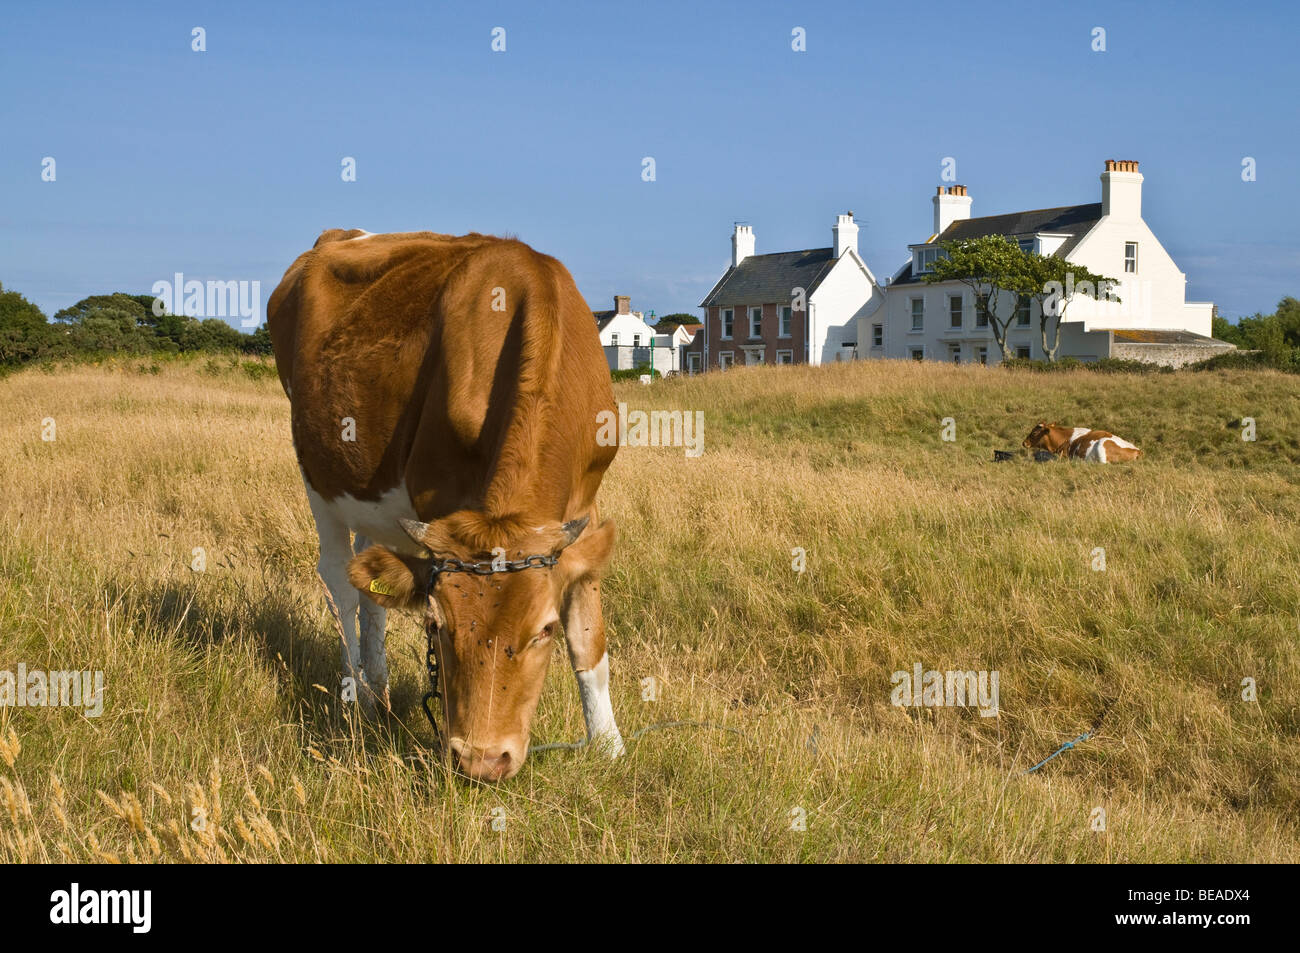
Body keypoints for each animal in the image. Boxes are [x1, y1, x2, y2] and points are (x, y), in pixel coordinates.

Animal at [267, 228, 624, 781]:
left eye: (544, 630)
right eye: (436, 625)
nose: (482, 760)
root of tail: (337, 236)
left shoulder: (582, 507)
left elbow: (588, 637)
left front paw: (609, 747)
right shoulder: (437, 504)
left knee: (369, 581)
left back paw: (377, 691)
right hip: (315, 469)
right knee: (338, 581)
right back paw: (354, 698)